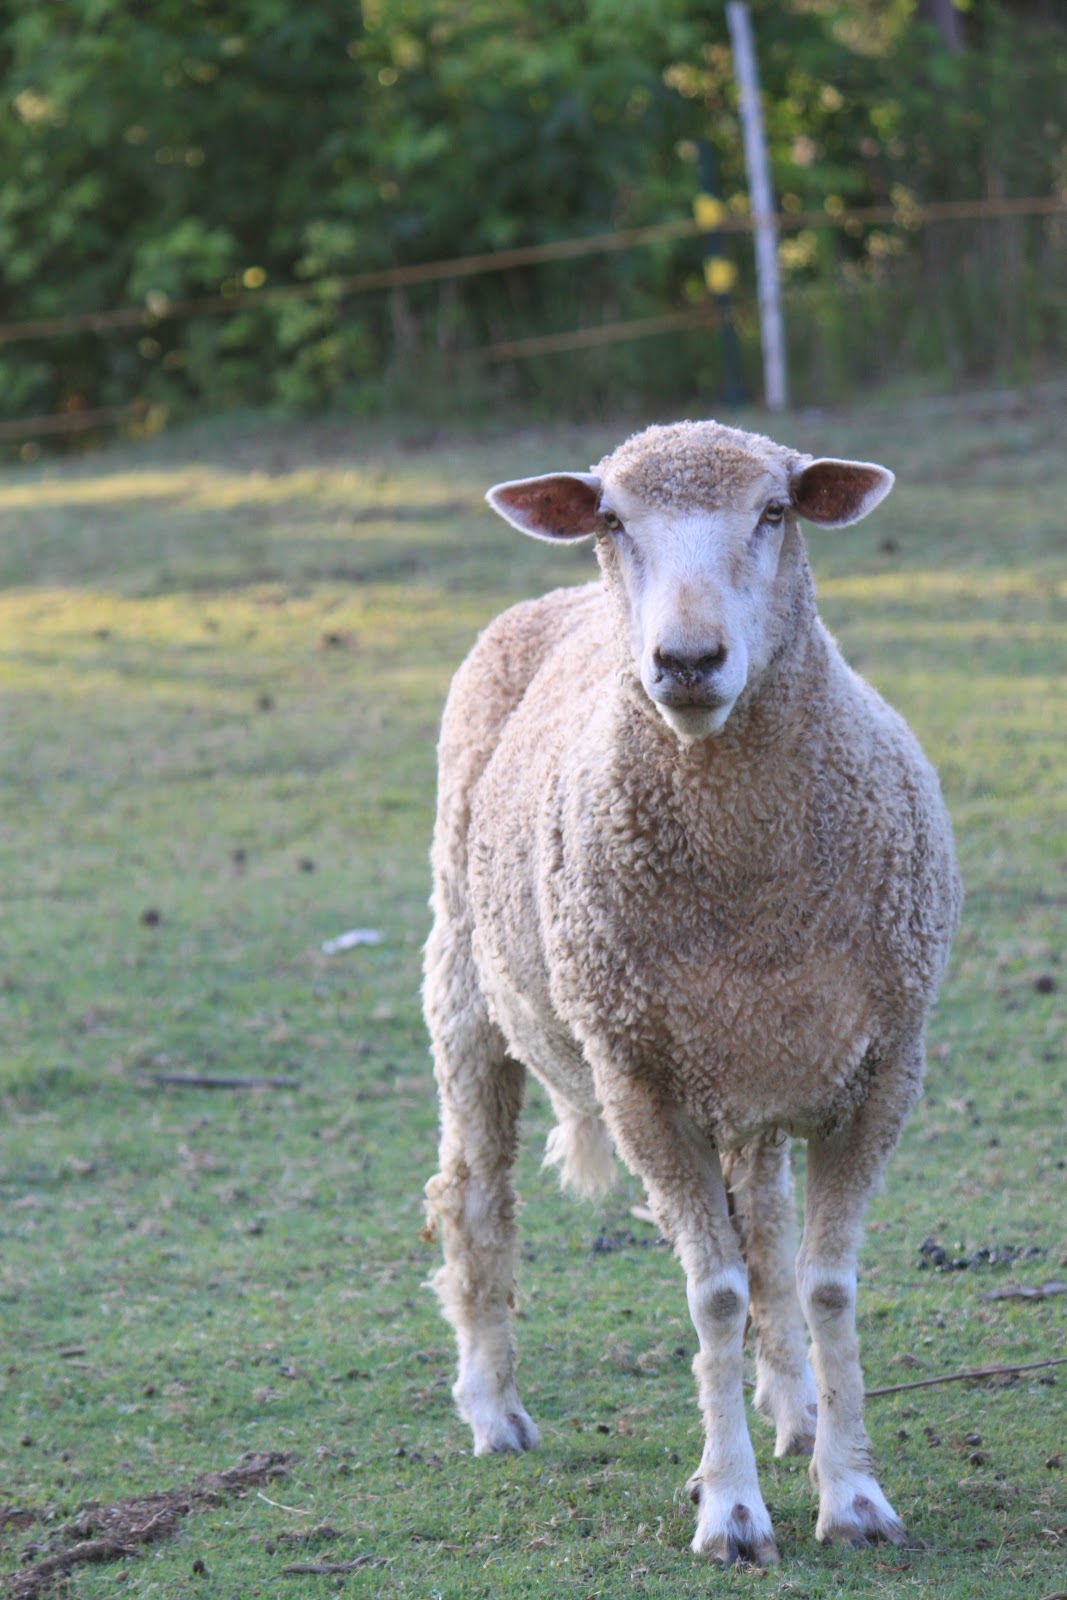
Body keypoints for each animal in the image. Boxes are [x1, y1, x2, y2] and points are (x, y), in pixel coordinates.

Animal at [422, 418, 961, 1566]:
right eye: (613, 520)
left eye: (774, 512)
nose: (685, 661)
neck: (747, 877)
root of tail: (551, 600)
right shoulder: (639, 1086)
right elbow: (710, 1294)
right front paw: (732, 1511)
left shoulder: (883, 1066)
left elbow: (822, 1280)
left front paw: (850, 1492)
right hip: (467, 984)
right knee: (475, 1193)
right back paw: (492, 1406)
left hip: (745, 1070)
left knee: (762, 1226)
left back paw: (792, 1407)